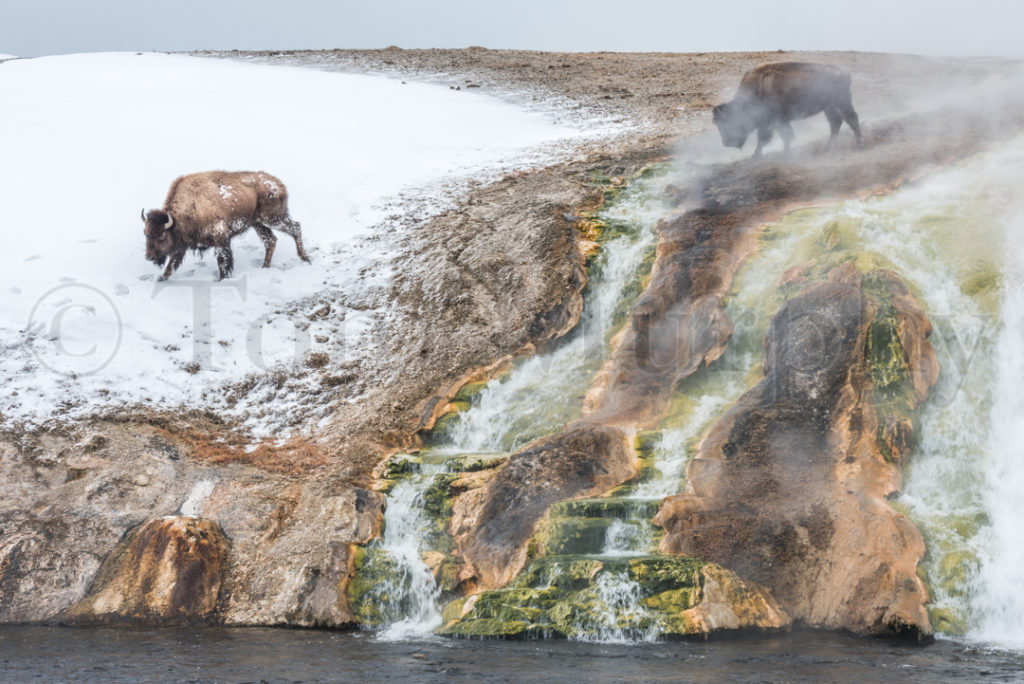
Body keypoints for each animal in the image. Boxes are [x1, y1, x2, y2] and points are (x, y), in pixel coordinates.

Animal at [142, 170, 311, 281]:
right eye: (145, 233)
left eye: (162, 236)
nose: (149, 257)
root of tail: (279, 184)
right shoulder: (181, 245)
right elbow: (171, 264)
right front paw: (162, 278)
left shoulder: (221, 239)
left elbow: (223, 261)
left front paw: (222, 279)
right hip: (258, 223)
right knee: (271, 241)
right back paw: (265, 266)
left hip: (273, 218)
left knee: (295, 228)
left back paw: (305, 258)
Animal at [712, 62, 864, 159]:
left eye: (726, 124)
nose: (726, 144)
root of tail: (845, 73)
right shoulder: (773, 122)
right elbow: (777, 137)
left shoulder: (774, 121)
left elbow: (773, 138)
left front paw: (758, 156)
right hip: (829, 107)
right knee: (836, 122)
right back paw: (826, 149)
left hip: (842, 102)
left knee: (852, 119)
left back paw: (859, 146)